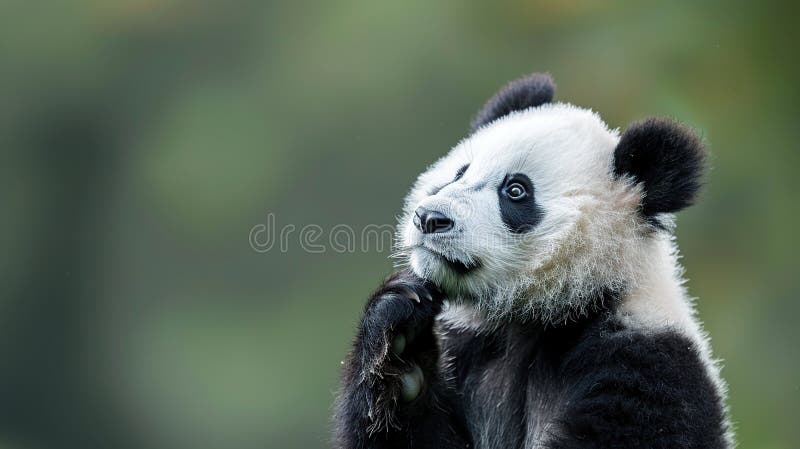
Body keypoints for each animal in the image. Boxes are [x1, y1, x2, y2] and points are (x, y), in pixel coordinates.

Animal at [333, 73, 733, 449]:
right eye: (460, 172)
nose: (430, 218)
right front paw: (401, 342)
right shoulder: (469, 347)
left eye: (516, 190)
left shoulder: (647, 367)